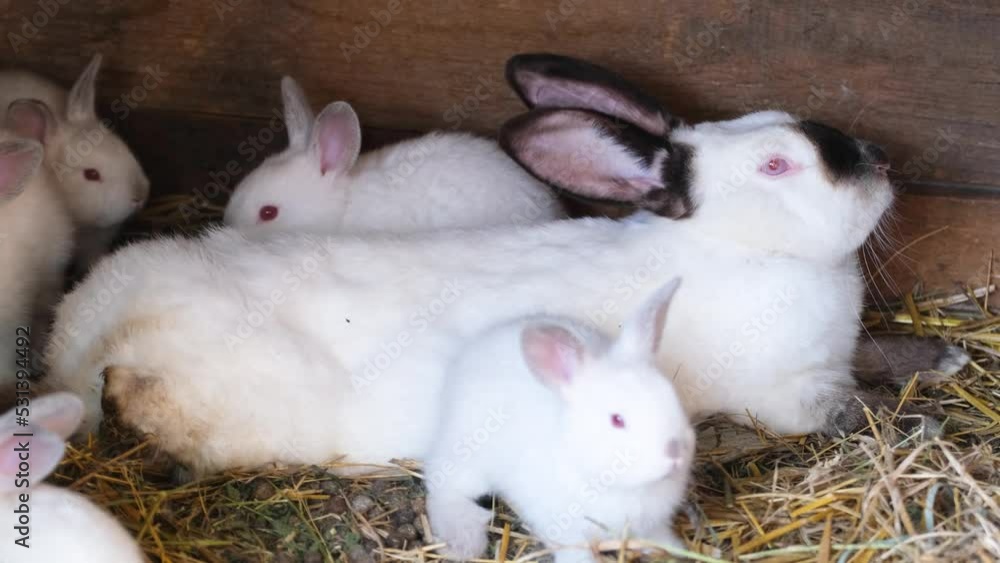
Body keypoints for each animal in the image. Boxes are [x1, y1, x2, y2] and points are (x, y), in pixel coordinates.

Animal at [425, 278, 694, 563]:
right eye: (617, 420)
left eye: (672, 396)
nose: (675, 451)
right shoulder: (565, 529)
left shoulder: (652, 524)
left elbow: (657, 538)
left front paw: (672, 550)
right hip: (467, 459)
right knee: (443, 488)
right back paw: (463, 539)